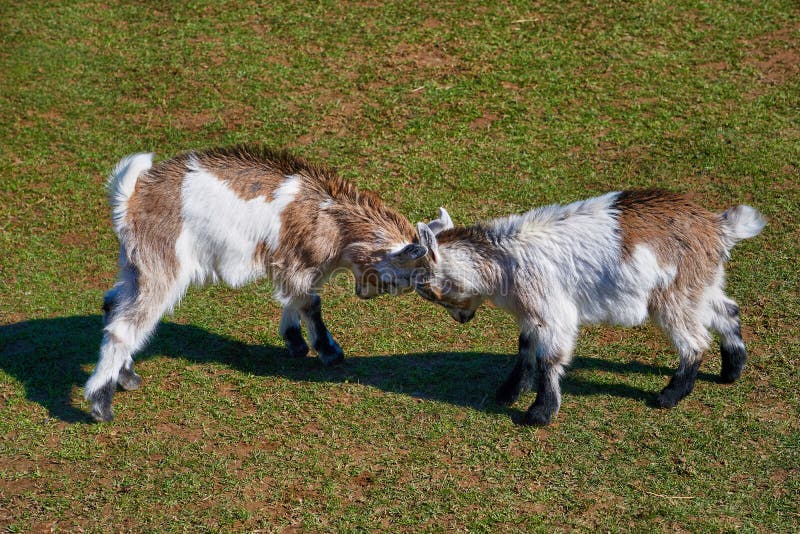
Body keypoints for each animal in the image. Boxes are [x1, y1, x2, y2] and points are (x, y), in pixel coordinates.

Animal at [86, 145, 429, 422]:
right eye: (398, 280)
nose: (366, 294)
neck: (331, 219)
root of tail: (130, 197)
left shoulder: (292, 267)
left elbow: (295, 299)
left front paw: (294, 341)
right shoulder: (299, 263)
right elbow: (310, 303)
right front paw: (329, 351)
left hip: (134, 265)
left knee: (113, 304)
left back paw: (126, 376)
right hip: (161, 263)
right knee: (124, 327)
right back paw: (101, 405)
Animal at [413, 190, 765, 426]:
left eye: (427, 291)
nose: (461, 319)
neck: (503, 258)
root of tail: (718, 226)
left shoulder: (550, 307)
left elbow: (549, 357)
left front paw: (540, 413)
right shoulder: (531, 311)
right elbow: (525, 346)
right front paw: (510, 391)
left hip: (674, 293)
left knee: (694, 340)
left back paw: (670, 395)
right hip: (701, 282)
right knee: (727, 311)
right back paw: (731, 370)